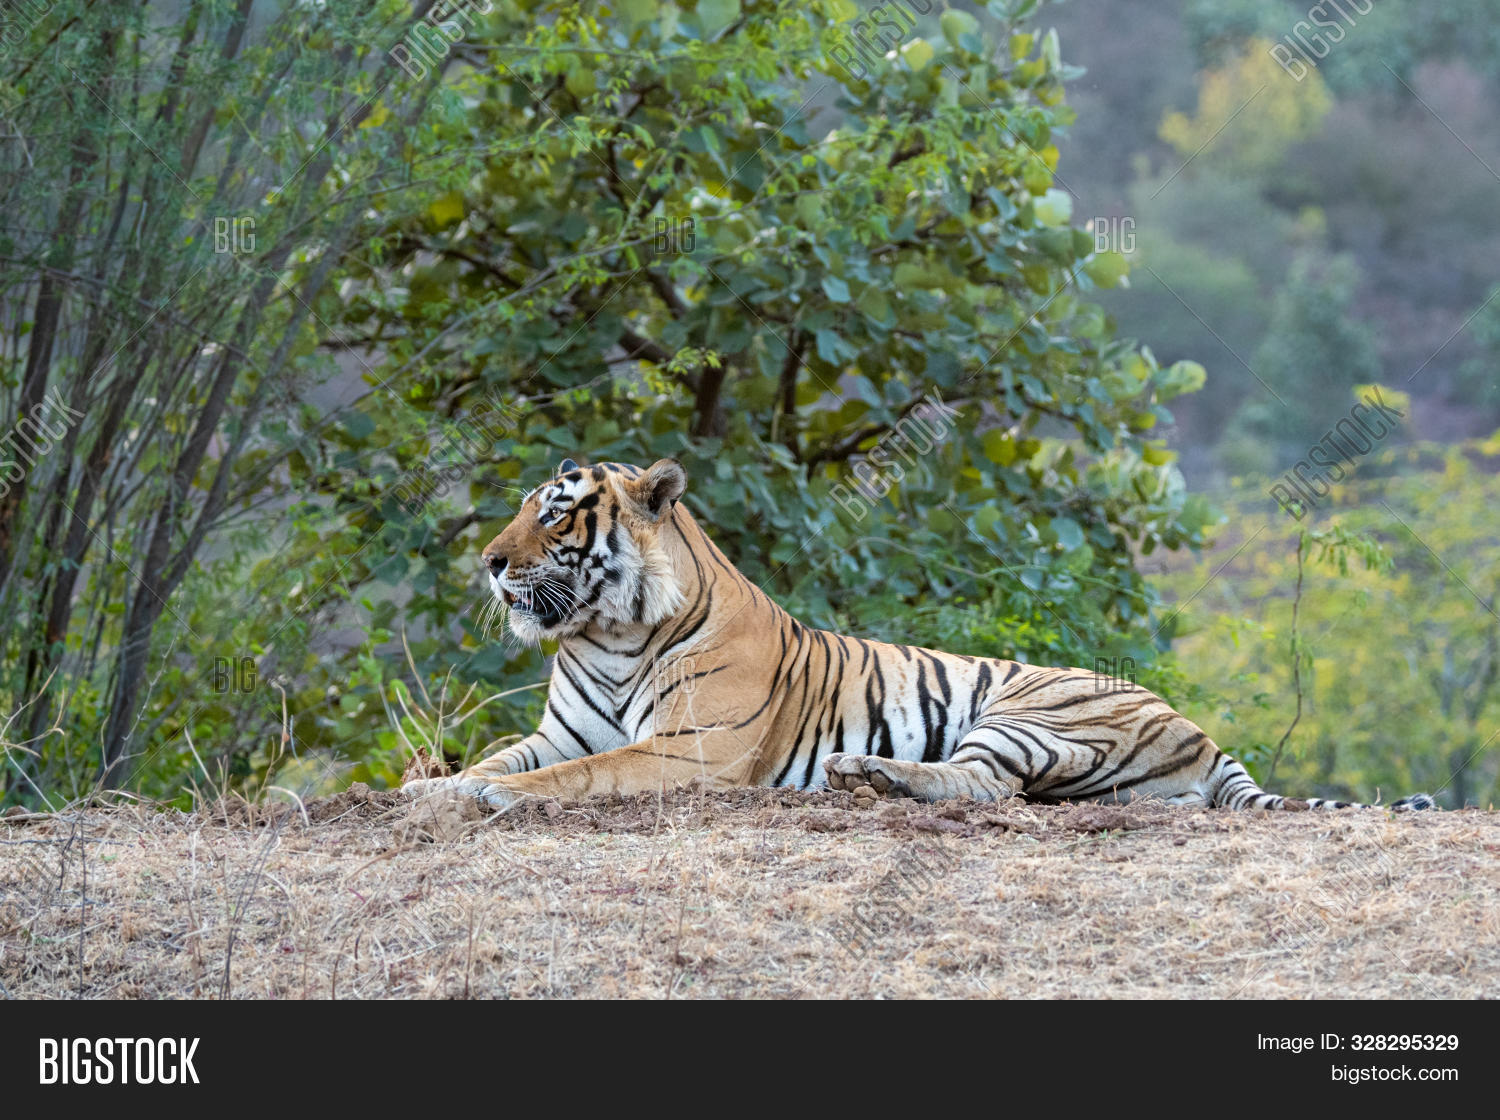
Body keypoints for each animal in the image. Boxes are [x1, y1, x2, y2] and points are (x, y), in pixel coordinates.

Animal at [401, 457, 1435, 814]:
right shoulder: (556, 730)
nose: (488, 561)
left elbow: (579, 776)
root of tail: (1205, 735)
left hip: (1029, 709)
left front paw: (481, 798)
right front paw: (440, 786)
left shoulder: (692, 750)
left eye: (555, 513)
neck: (609, 632)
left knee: (983, 786)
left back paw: (868, 775)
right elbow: (505, 757)